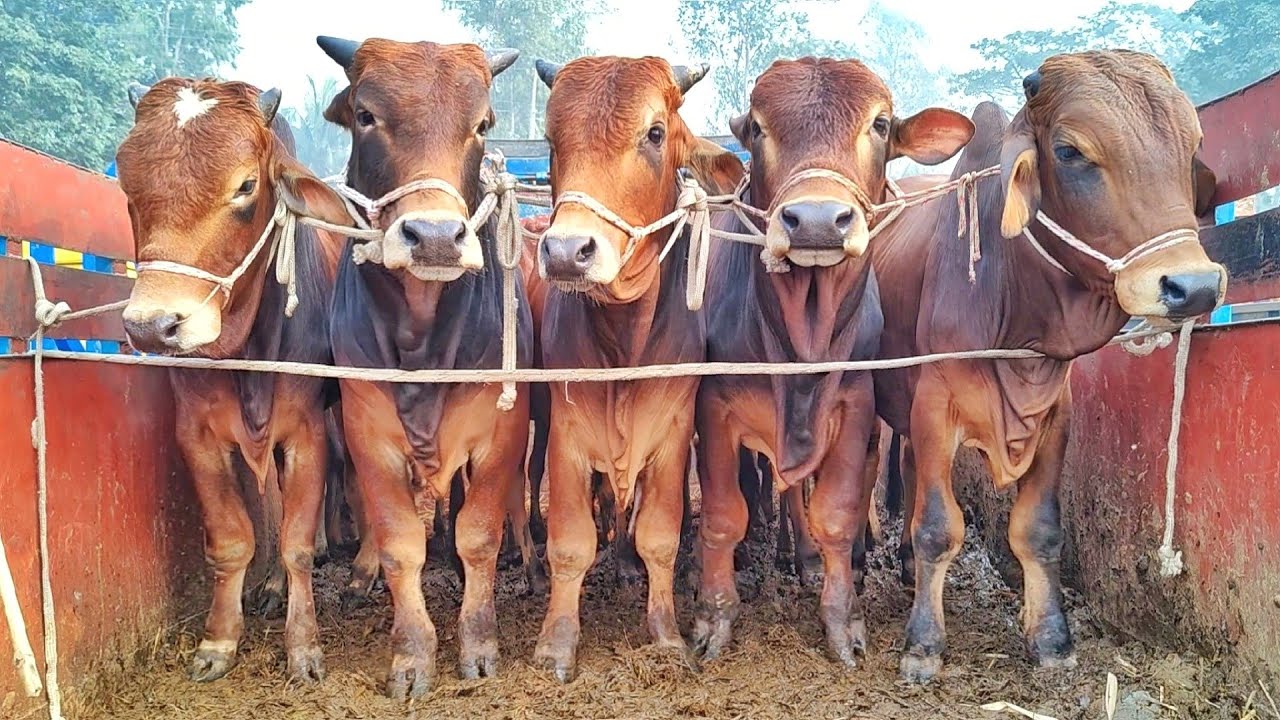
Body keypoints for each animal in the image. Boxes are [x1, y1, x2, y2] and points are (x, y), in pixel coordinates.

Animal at [116, 78, 360, 683]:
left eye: (247, 185)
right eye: (128, 184)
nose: (153, 325)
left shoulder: (304, 428)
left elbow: (298, 541)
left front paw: (304, 647)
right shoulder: (197, 436)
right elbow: (232, 539)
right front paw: (219, 641)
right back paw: (270, 587)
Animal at [312, 36, 542, 699]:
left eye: (482, 124)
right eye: (366, 115)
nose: (436, 236)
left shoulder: (500, 431)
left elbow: (479, 536)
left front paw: (480, 645)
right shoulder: (367, 431)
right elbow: (399, 545)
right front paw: (412, 657)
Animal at [529, 55, 744, 682]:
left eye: (654, 133)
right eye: (551, 139)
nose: (566, 251)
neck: (622, 346)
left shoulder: (672, 435)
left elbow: (660, 536)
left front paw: (666, 635)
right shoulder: (568, 435)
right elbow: (571, 541)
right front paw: (557, 643)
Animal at [691, 57, 974, 667]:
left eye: (881, 124)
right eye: (757, 127)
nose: (818, 220)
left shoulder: (854, 405)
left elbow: (838, 514)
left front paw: (843, 620)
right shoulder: (714, 406)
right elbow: (724, 517)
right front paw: (713, 617)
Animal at [869, 49, 1226, 683]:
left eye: (1191, 146)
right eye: (1069, 151)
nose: (1195, 286)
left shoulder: (1056, 412)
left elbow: (1038, 528)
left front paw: (1052, 638)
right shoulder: (935, 406)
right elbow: (937, 527)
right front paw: (923, 643)